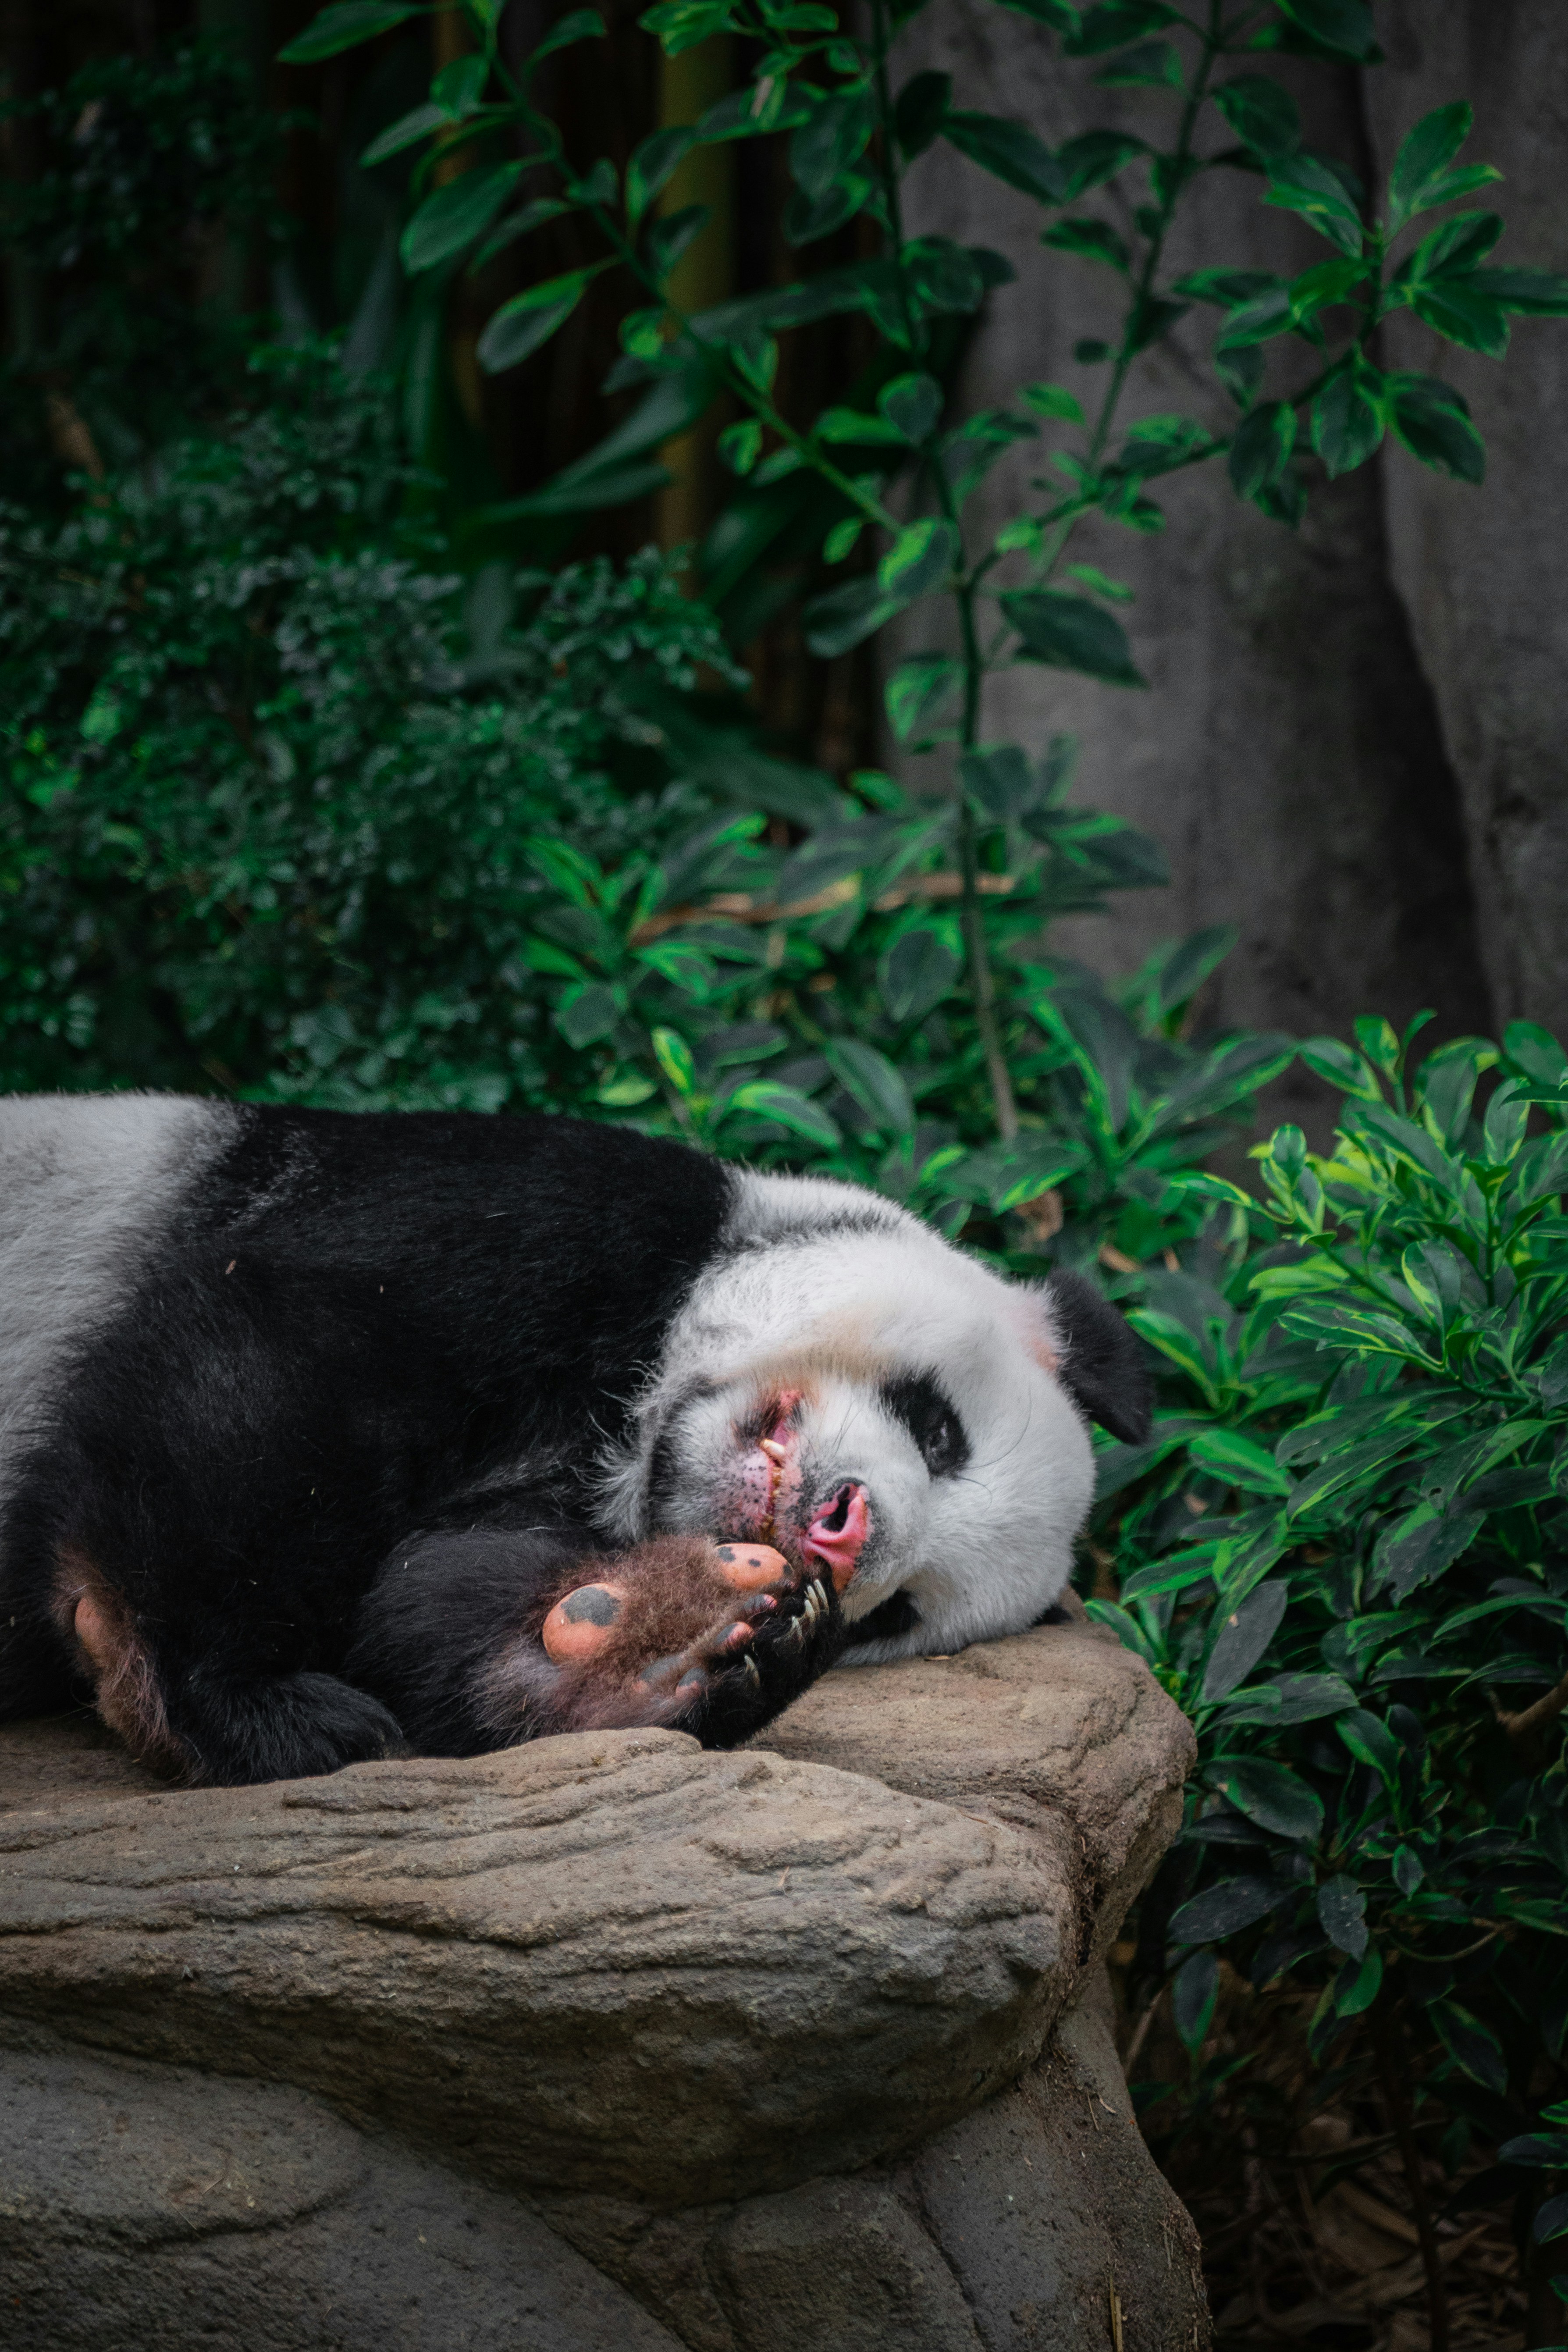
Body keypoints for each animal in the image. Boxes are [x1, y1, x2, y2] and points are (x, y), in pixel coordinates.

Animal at [0, 1093, 1150, 1788]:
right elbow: (274, 1370)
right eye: (938, 1427)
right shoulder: (543, 1218)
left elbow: (428, 1619)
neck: (628, 1423)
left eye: (897, 1614)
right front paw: (240, 1701)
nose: (841, 1532)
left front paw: (665, 1649)